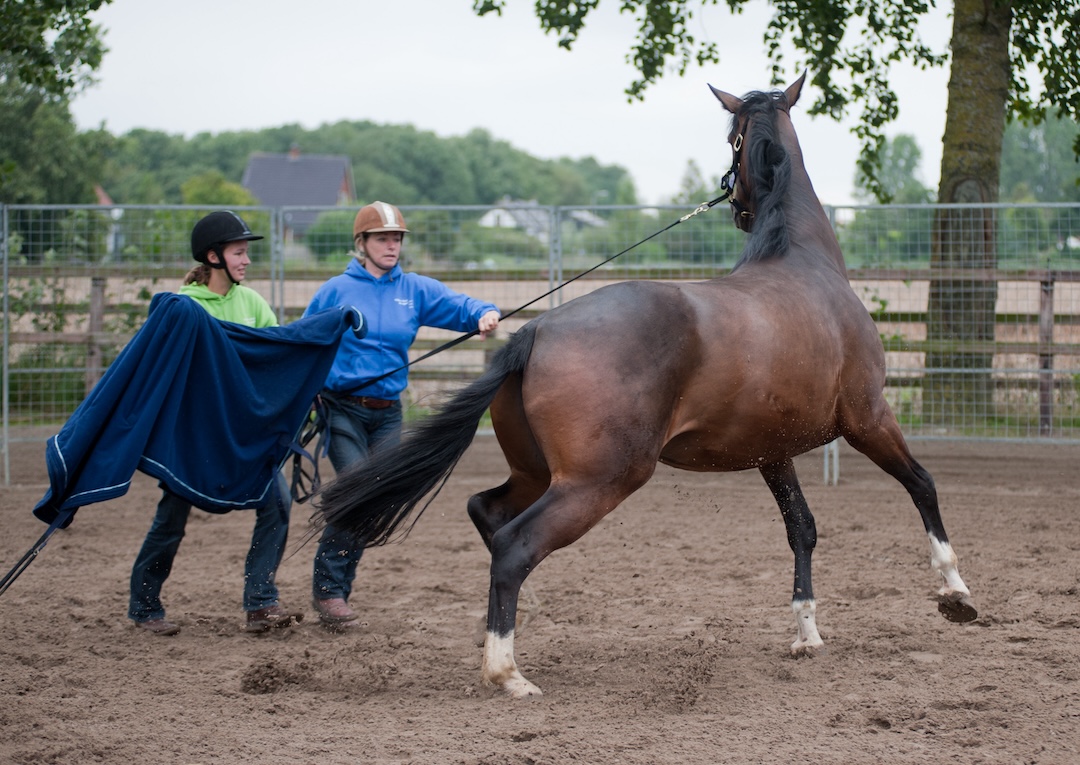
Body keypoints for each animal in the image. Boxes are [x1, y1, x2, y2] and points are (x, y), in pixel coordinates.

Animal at [315, 74, 978, 699]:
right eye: (733, 140)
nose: (736, 206)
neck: (804, 263)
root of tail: (537, 331)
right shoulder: (868, 417)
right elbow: (922, 485)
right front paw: (956, 593)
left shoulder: (774, 450)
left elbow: (803, 529)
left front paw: (807, 633)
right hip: (601, 480)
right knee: (513, 545)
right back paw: (507, 672)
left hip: (539, 472)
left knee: (487, 512)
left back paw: (505, 631)